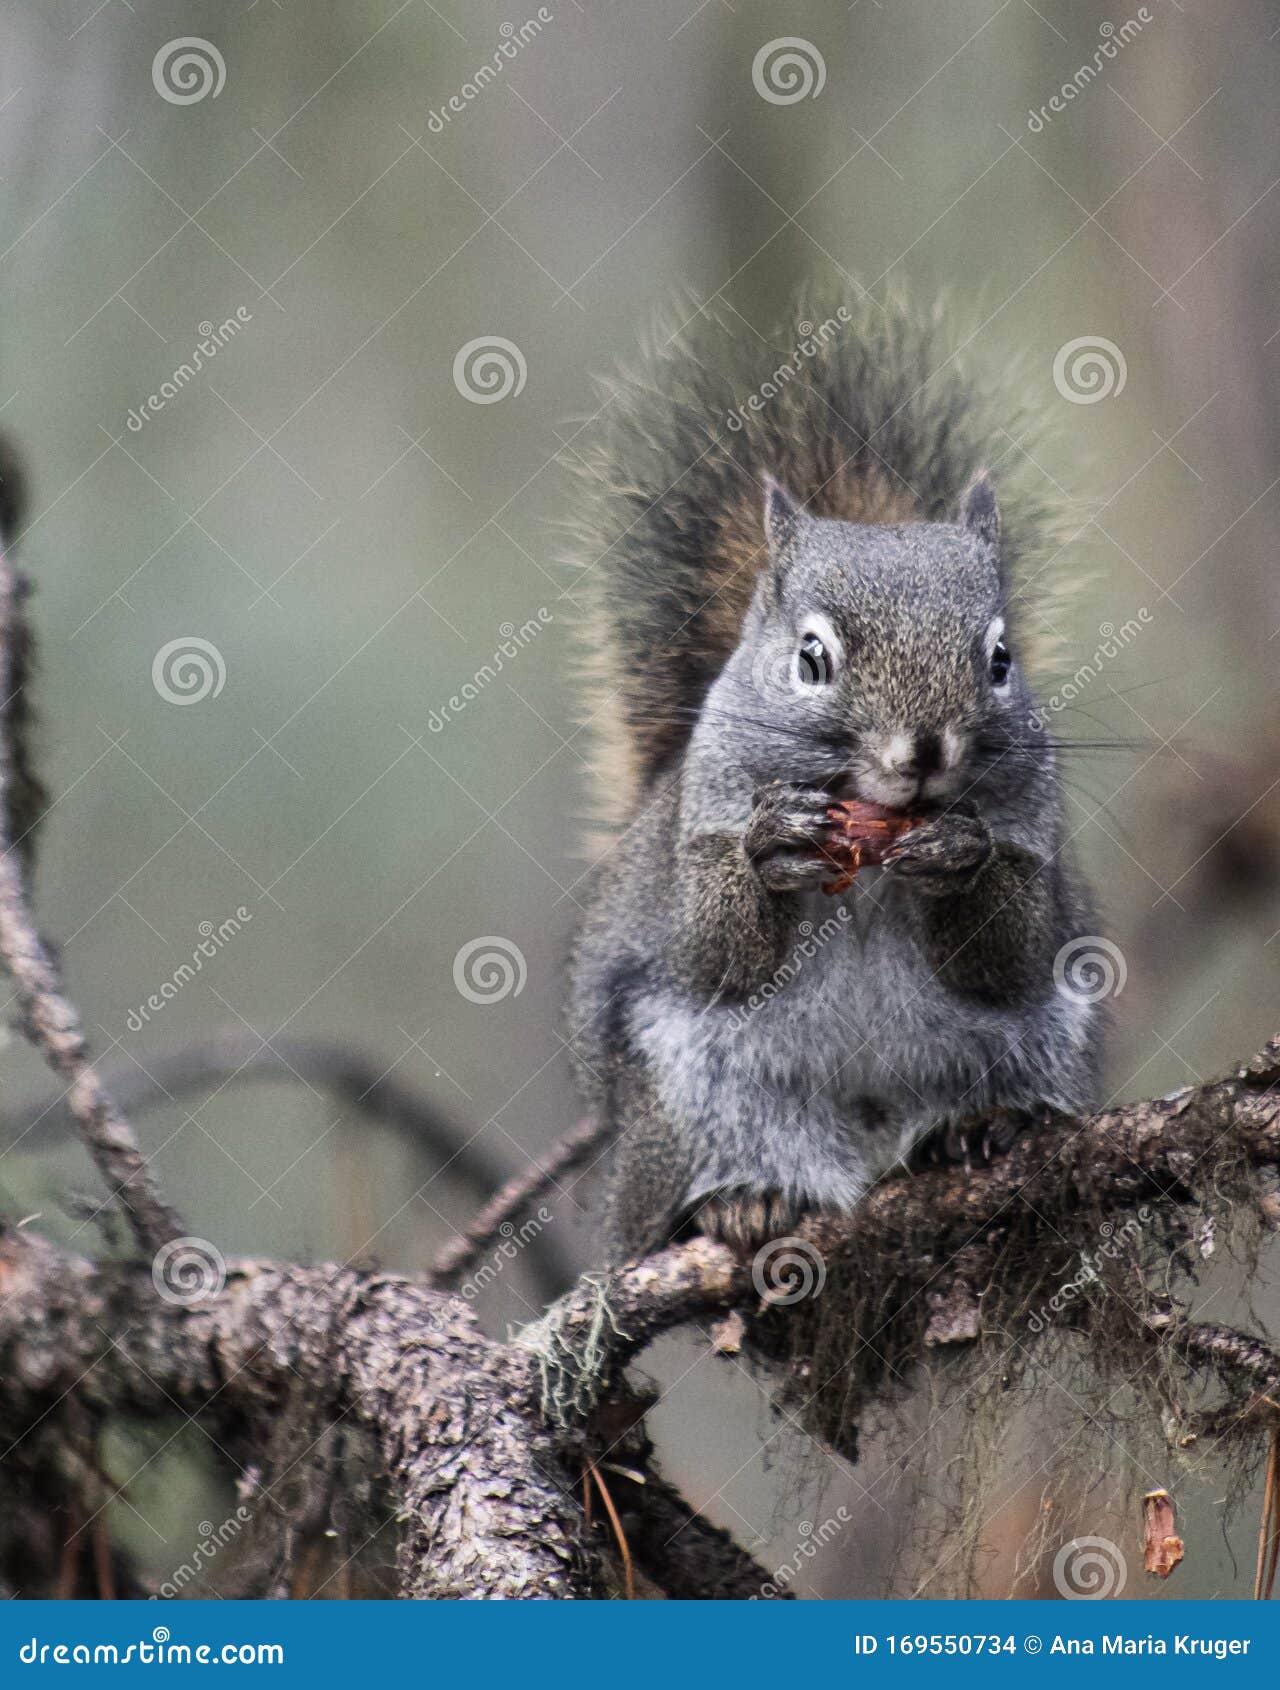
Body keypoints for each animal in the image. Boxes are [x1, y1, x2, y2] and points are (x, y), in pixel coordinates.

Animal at [566, 295, 1105, 1261]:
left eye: (1001, 659)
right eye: (810, 658)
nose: (923, 753)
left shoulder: (1033, 835)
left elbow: (1007, 956)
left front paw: (958, 852)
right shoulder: (698, 826)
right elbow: (715, 953)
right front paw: (771, 845)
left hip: (1042, 1047)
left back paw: (974, 1129)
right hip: (684, 1101)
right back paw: (744, 1202)